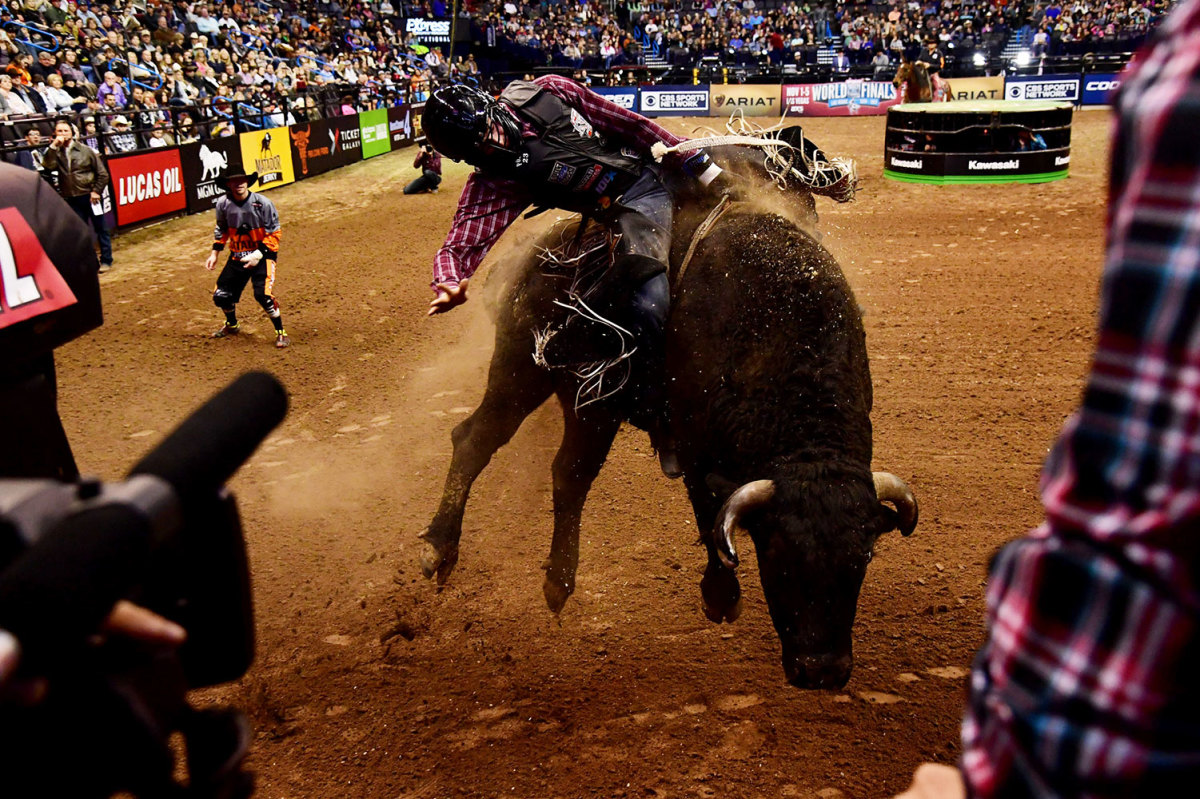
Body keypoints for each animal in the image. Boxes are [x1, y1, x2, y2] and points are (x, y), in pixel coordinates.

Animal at [418, 183, 918, 689]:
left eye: (865, 556)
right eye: (778, 552)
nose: (821, 670)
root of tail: (537, 254)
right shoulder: (697, 451)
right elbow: (710, 517)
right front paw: (720, 595)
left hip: (584, 401)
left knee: (558, 471)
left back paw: (549, 578)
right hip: (532, 374)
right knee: (485, 444)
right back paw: (443, 547)